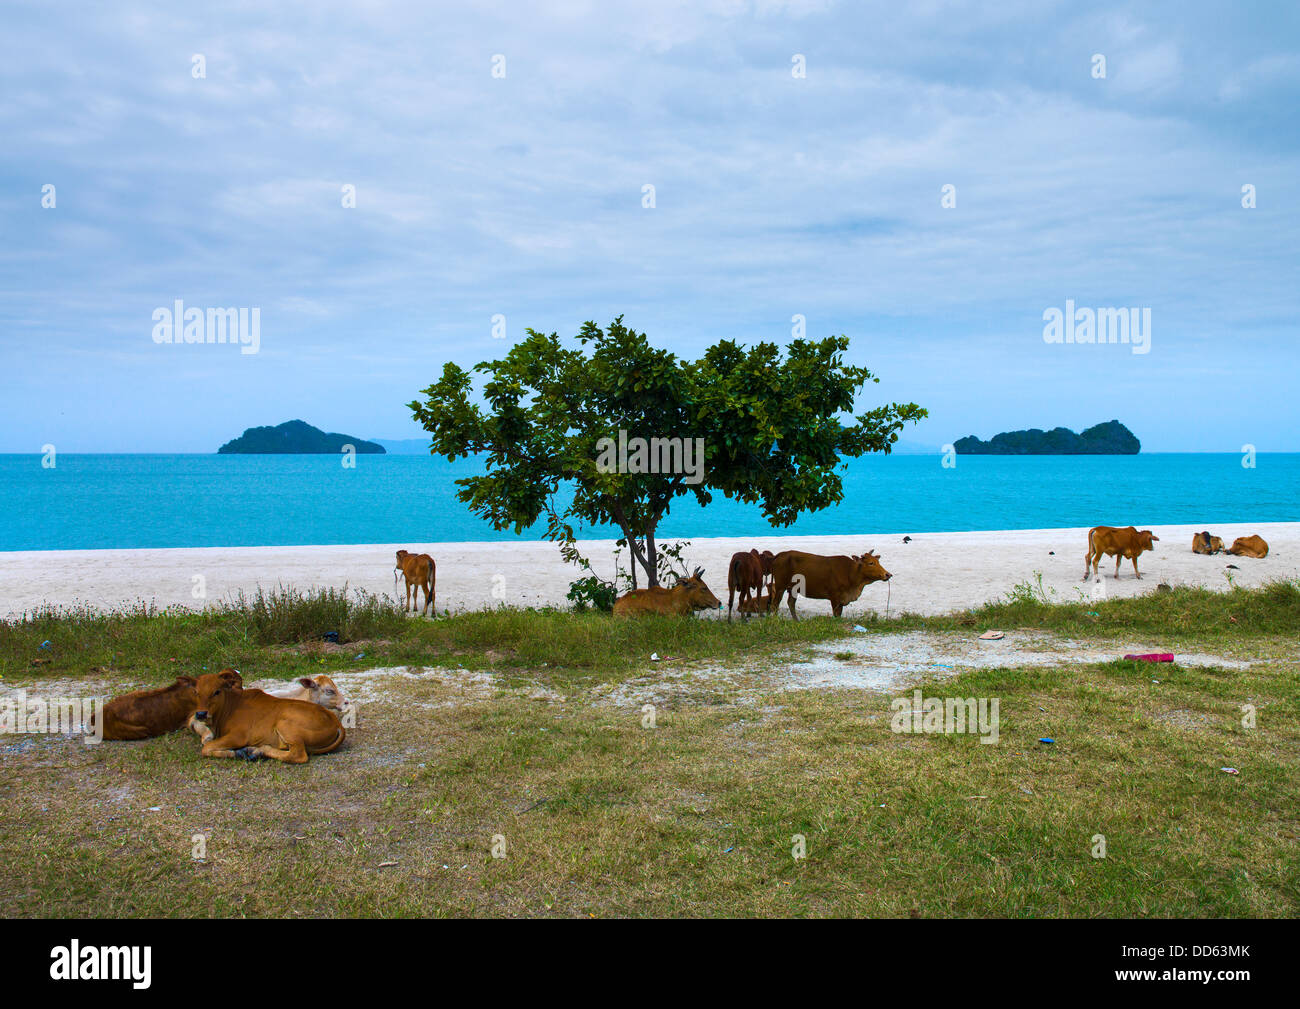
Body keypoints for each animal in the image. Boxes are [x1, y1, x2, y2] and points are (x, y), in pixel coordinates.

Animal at [189, 672, 345, 764]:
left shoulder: (238, 736)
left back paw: (258, 751)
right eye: (196, 692)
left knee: (298, 755)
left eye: (217, 691)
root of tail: (336, 723)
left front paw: (237, 753)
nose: (201, 714)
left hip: (285, 725)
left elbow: (206, 748)